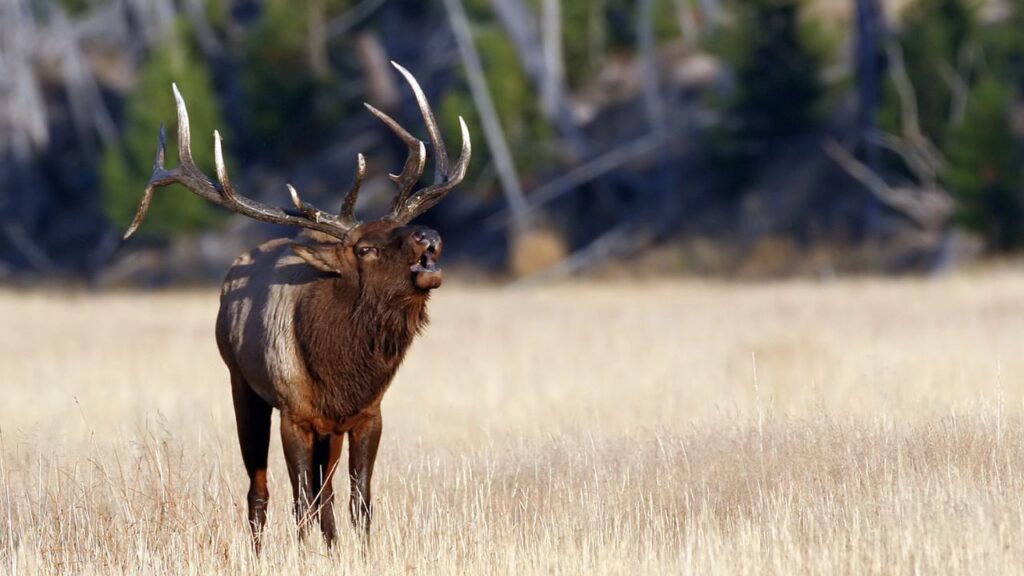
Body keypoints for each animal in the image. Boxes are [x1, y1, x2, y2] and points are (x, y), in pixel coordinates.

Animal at [122, 63, 471, 551]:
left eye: (402, 228)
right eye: (364, 248)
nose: (429, 236)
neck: (341, 374)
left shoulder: (367, 414)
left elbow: (359, 500)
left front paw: (359, 553)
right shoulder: (294, 413)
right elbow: (300, 499)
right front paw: (303, 555)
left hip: (327, 430)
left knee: (326, 494)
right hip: (242, 386)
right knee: (261, 491)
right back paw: (259, 551)